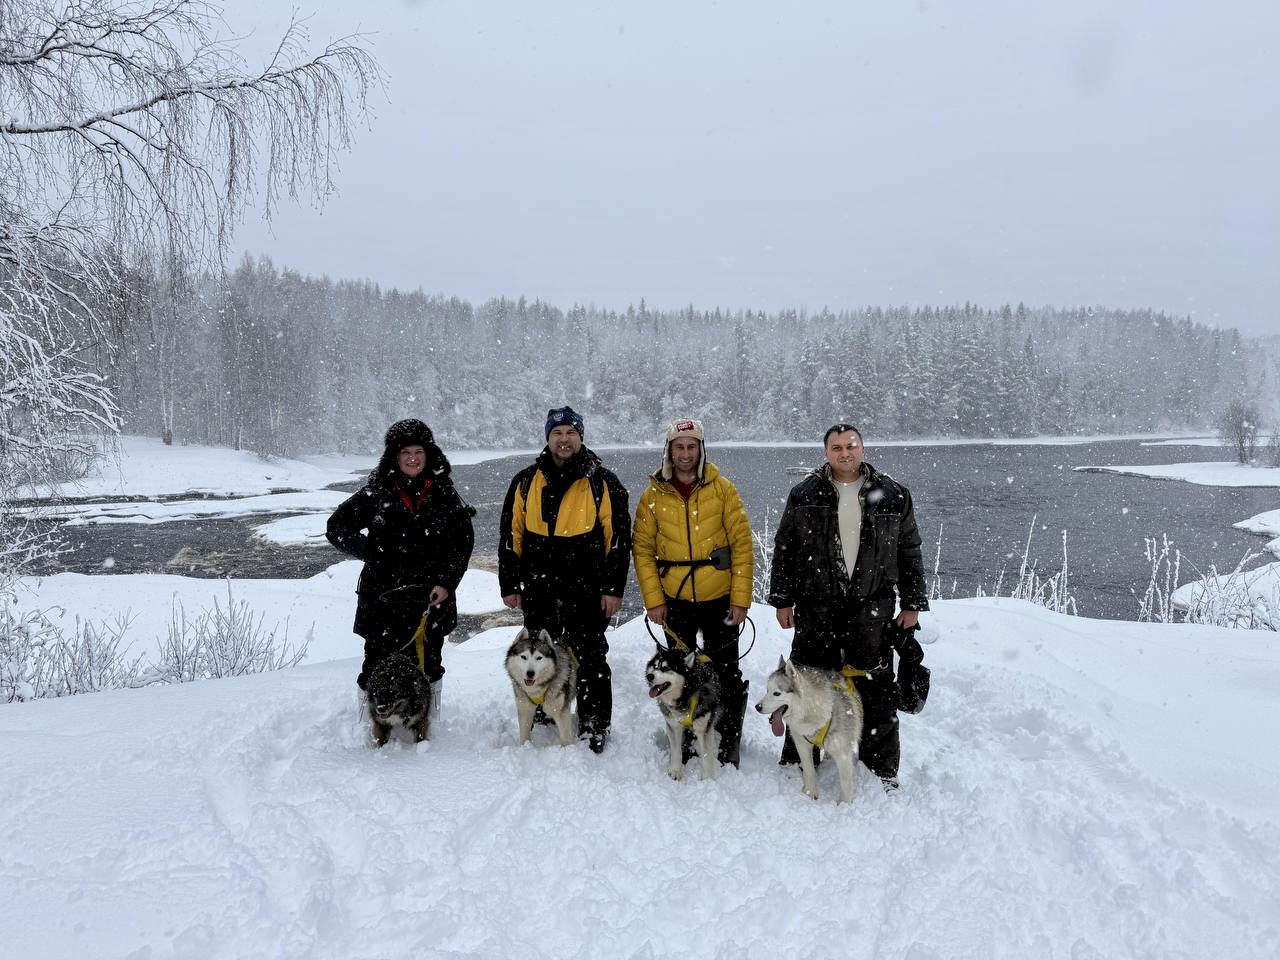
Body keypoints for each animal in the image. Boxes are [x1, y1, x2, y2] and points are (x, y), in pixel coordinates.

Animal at [650, 647, 721, 783]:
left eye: (666, 668)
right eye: (655, 666)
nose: (649, 676)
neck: (686, 695)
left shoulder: (704, 727)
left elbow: (706, 755)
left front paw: (707, 780)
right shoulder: (674, 726)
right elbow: (676, 751)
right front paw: (676, 771)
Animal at [752, 660, 865, 803]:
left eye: (776, 693)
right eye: (767, 691)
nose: (757, 707)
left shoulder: (842, 753)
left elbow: (845, 782)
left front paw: (844, 804)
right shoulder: (802, 744)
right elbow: (809, 770)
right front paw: (809, 793)